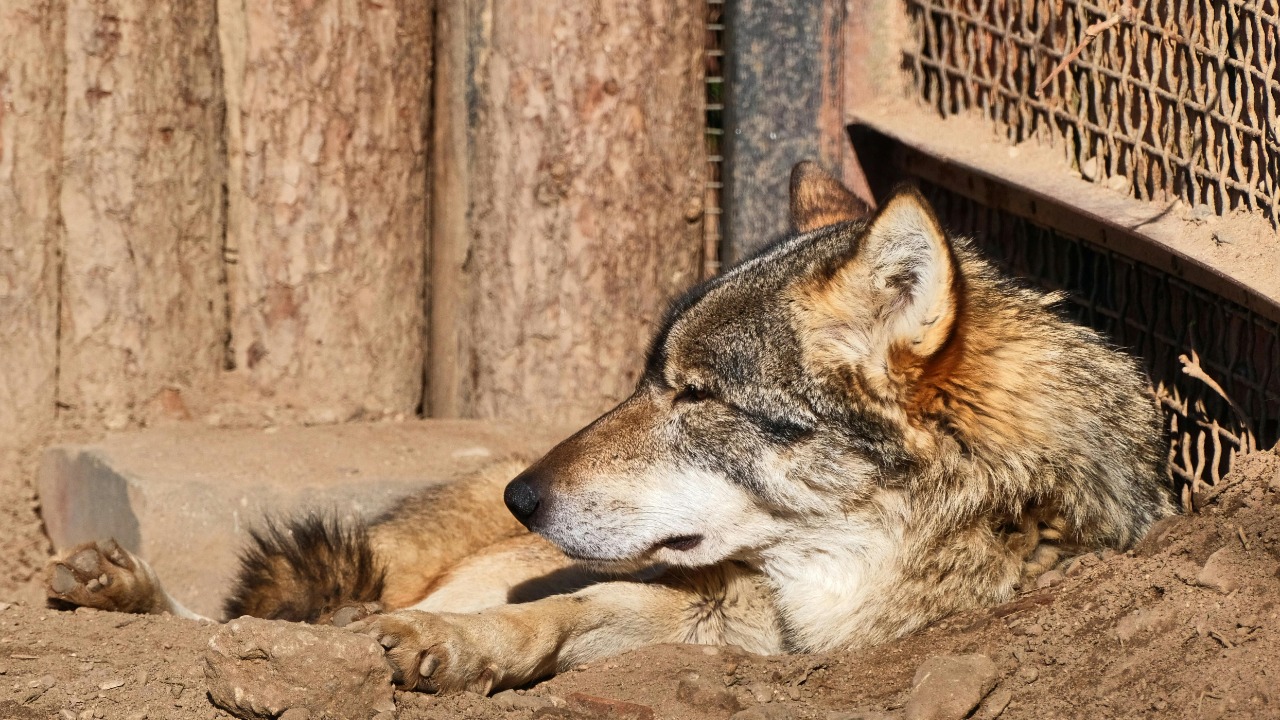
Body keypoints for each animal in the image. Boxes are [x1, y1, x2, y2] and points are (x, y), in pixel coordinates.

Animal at [47, 162, 1174, 694]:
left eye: (696, 395)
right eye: (644, 378)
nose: (524, 497)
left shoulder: (729, 638)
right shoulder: (689, 607)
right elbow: (566, 607)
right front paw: (461, 648)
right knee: (261, 619)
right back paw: (120, 591)